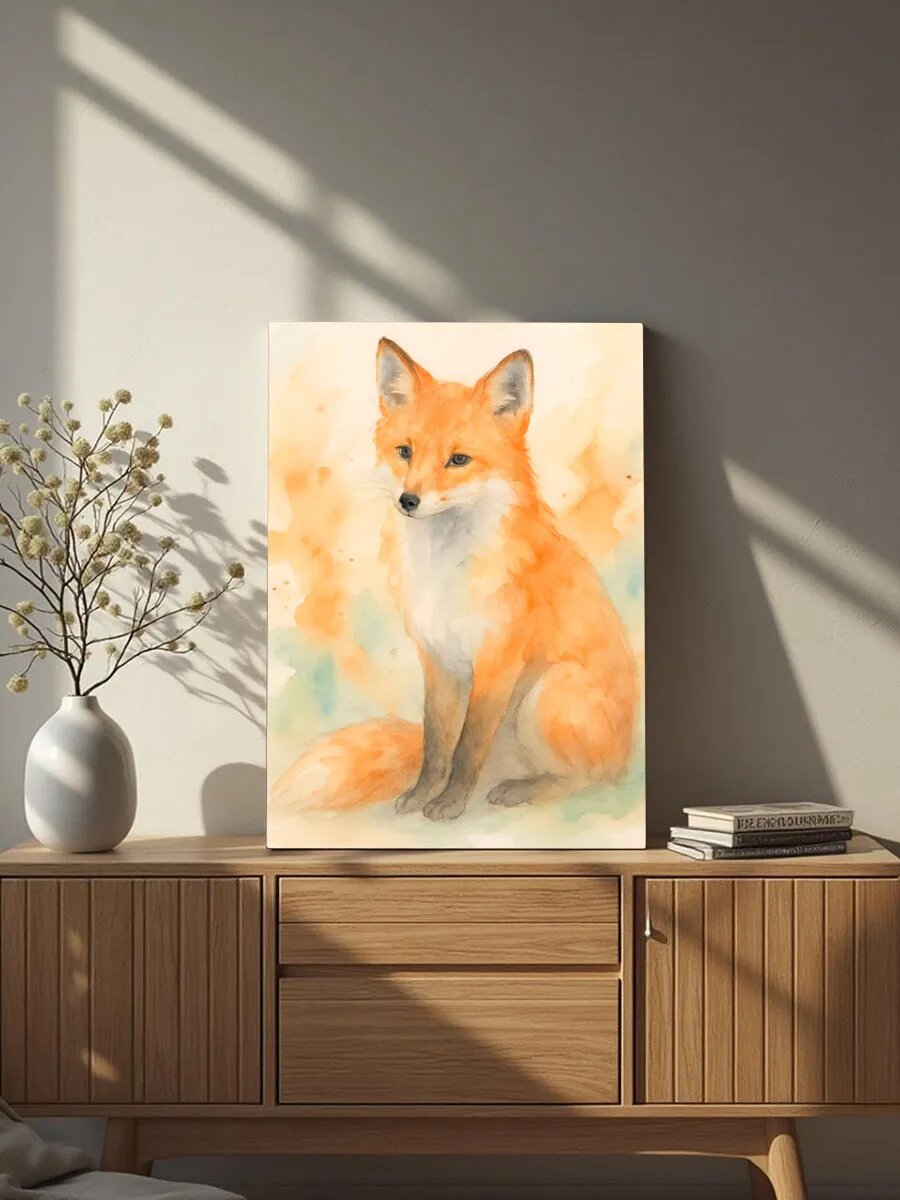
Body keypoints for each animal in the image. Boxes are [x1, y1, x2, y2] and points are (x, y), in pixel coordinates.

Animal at [270, 338, 638, 823]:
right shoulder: (437, 660)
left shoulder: (496, 663)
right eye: (404, 452)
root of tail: (627, 756)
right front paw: (423, 794)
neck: (445, 570)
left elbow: (467, 747)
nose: (408, 500)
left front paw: (450, 803)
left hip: (547, 694)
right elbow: (437, 745)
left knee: (584, 779)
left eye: (458, 460)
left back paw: (524, 788)